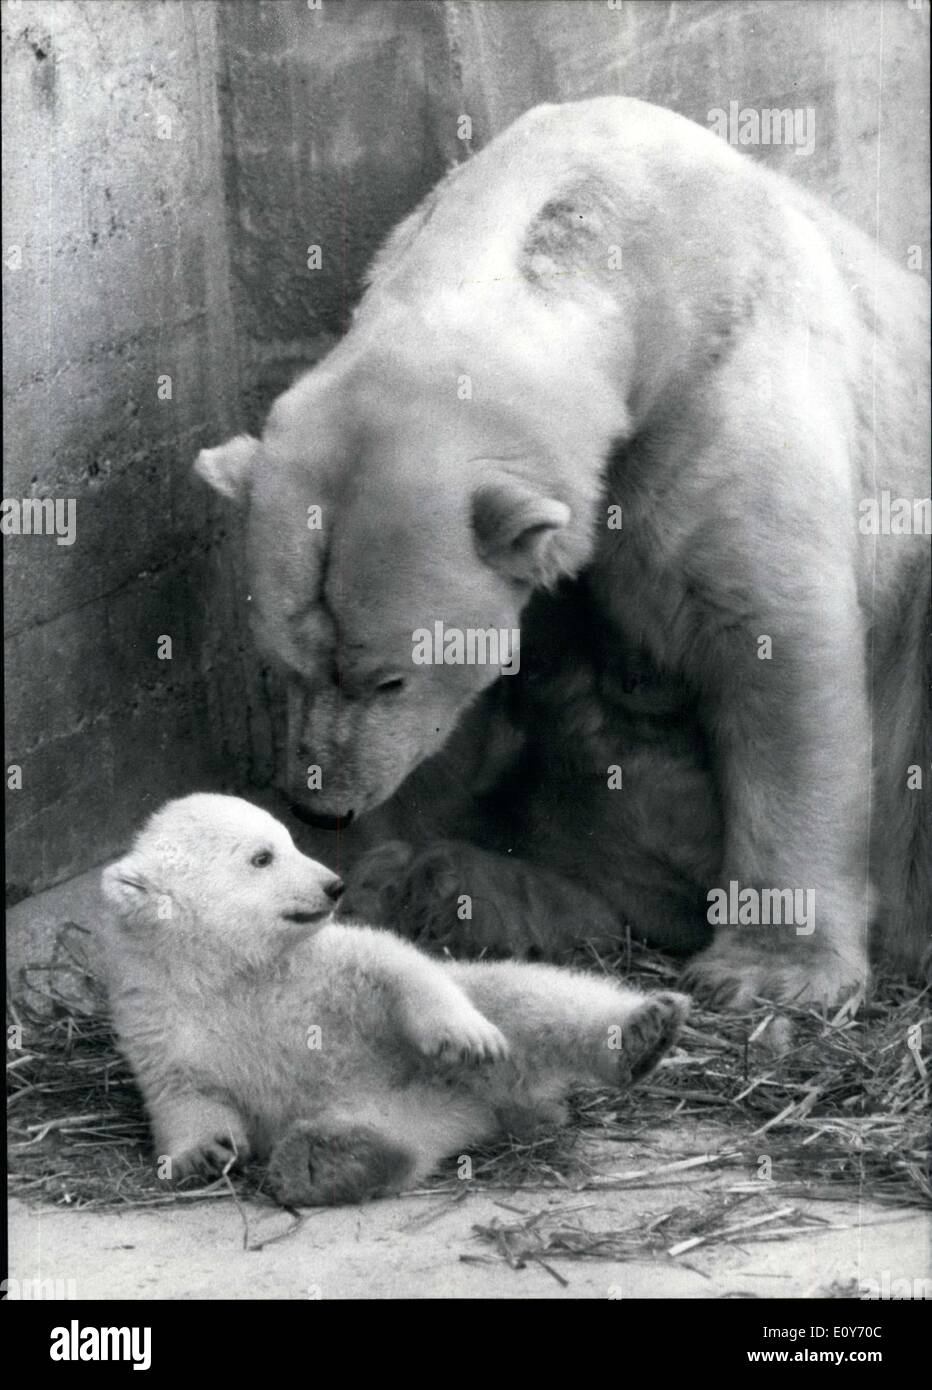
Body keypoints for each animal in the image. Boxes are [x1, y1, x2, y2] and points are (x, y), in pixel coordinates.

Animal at [98, 793, 689, 1205]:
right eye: (262, 857)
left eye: (289, 840)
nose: (333, 885)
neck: (231, 970)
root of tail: (503, 1102)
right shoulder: (157, 1015)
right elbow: (182, 1091)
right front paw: (204, 1152)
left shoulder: (316, 968)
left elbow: (391, 965)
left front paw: (462, 1036)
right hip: (412, 1110)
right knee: (389, 1133)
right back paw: (328, 1161)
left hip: (483, 1019)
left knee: (528, 998)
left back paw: (641, 1031)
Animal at [195, 96, 930, 1009]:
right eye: (283, 667)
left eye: (389, 676)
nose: (320, 807)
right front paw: (369, 875)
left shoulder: (721, 400)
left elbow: (774, 646)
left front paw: (770, 969)